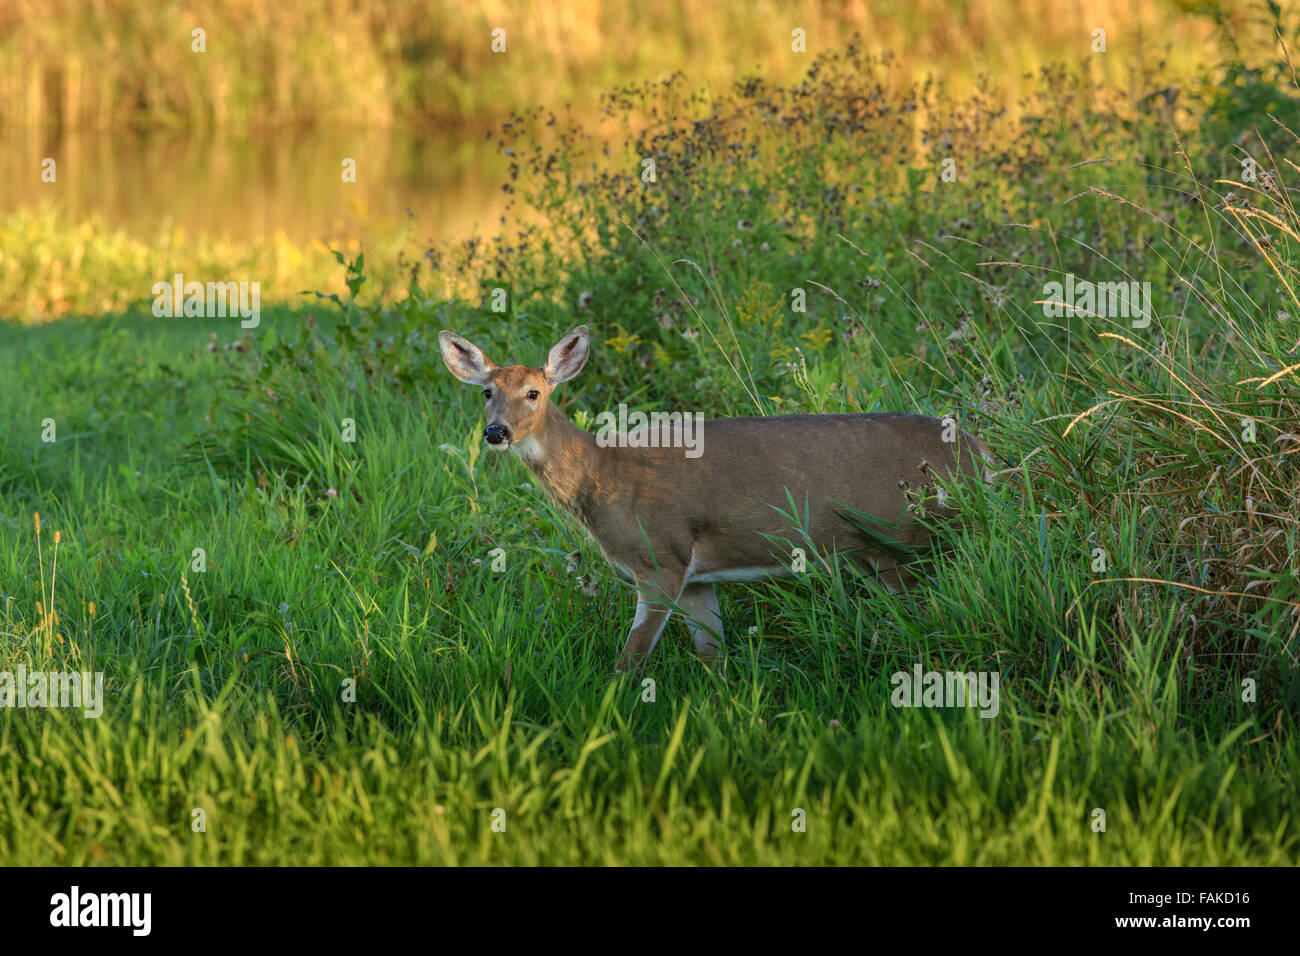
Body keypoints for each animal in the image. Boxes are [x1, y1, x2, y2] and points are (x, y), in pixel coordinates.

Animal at [439, 325, 994, 674]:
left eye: (534, 392)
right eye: (487, 391)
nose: (496, 432)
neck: (603, 476)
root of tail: (982, 454)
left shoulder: (660, 557)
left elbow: (630, 660)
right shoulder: (697, 577)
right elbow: (713, 655)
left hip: (909, 539)